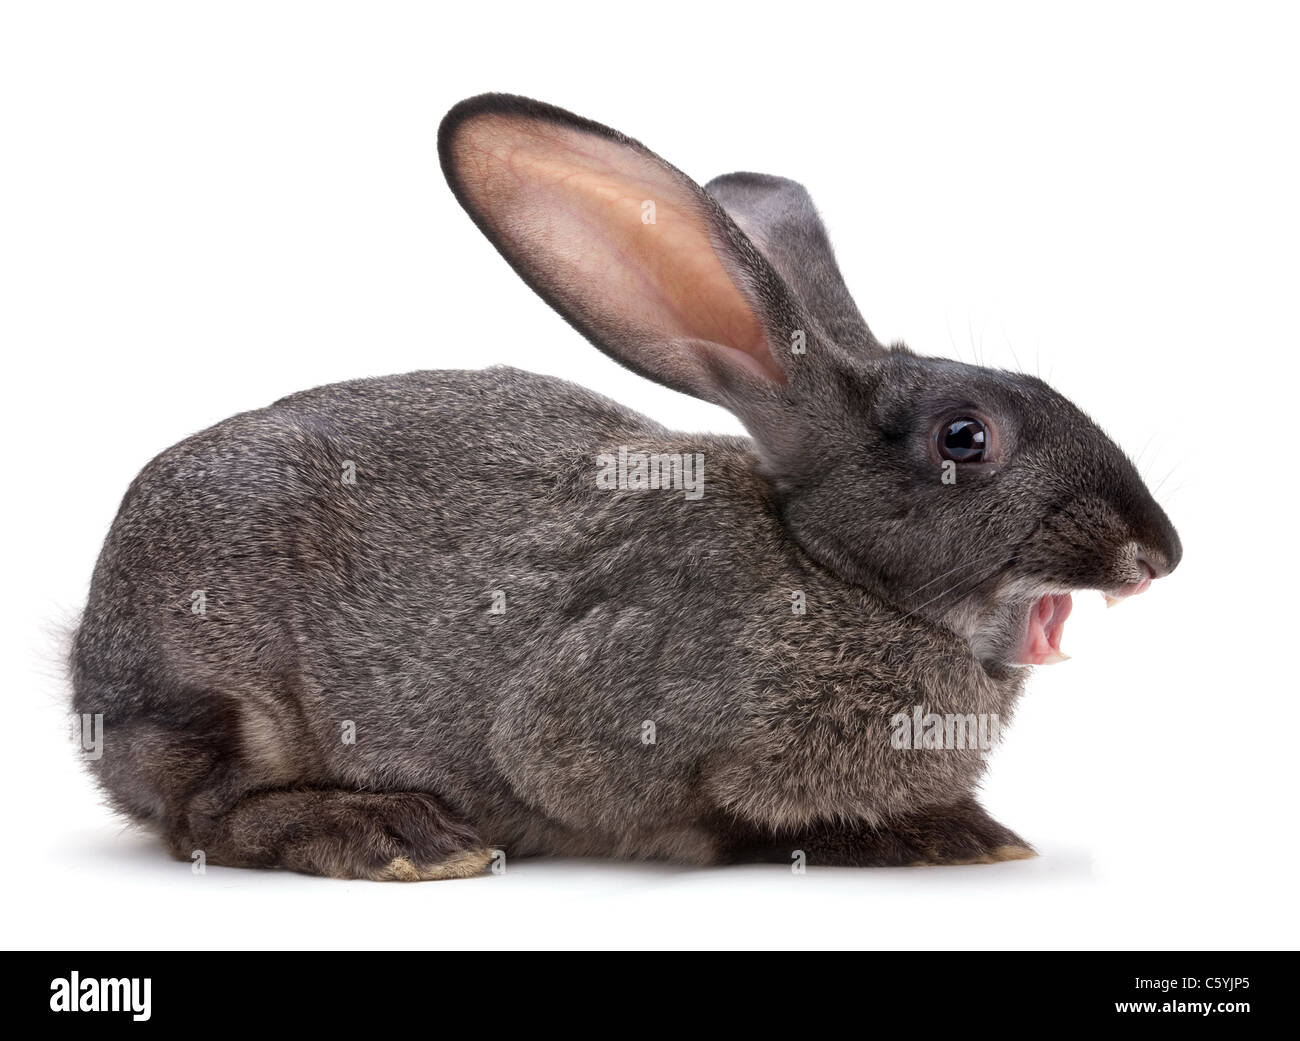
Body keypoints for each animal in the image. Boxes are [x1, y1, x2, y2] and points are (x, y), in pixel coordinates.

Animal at [70, 93, 1181, 880]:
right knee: (206, 817)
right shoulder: (595, 733)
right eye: (965, 437)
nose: (1159, 552)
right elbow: (702, 815)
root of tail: (88, 665)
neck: (828, 565)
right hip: (225, 681)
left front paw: (968, 829)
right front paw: (930, 837)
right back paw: (398, 837)